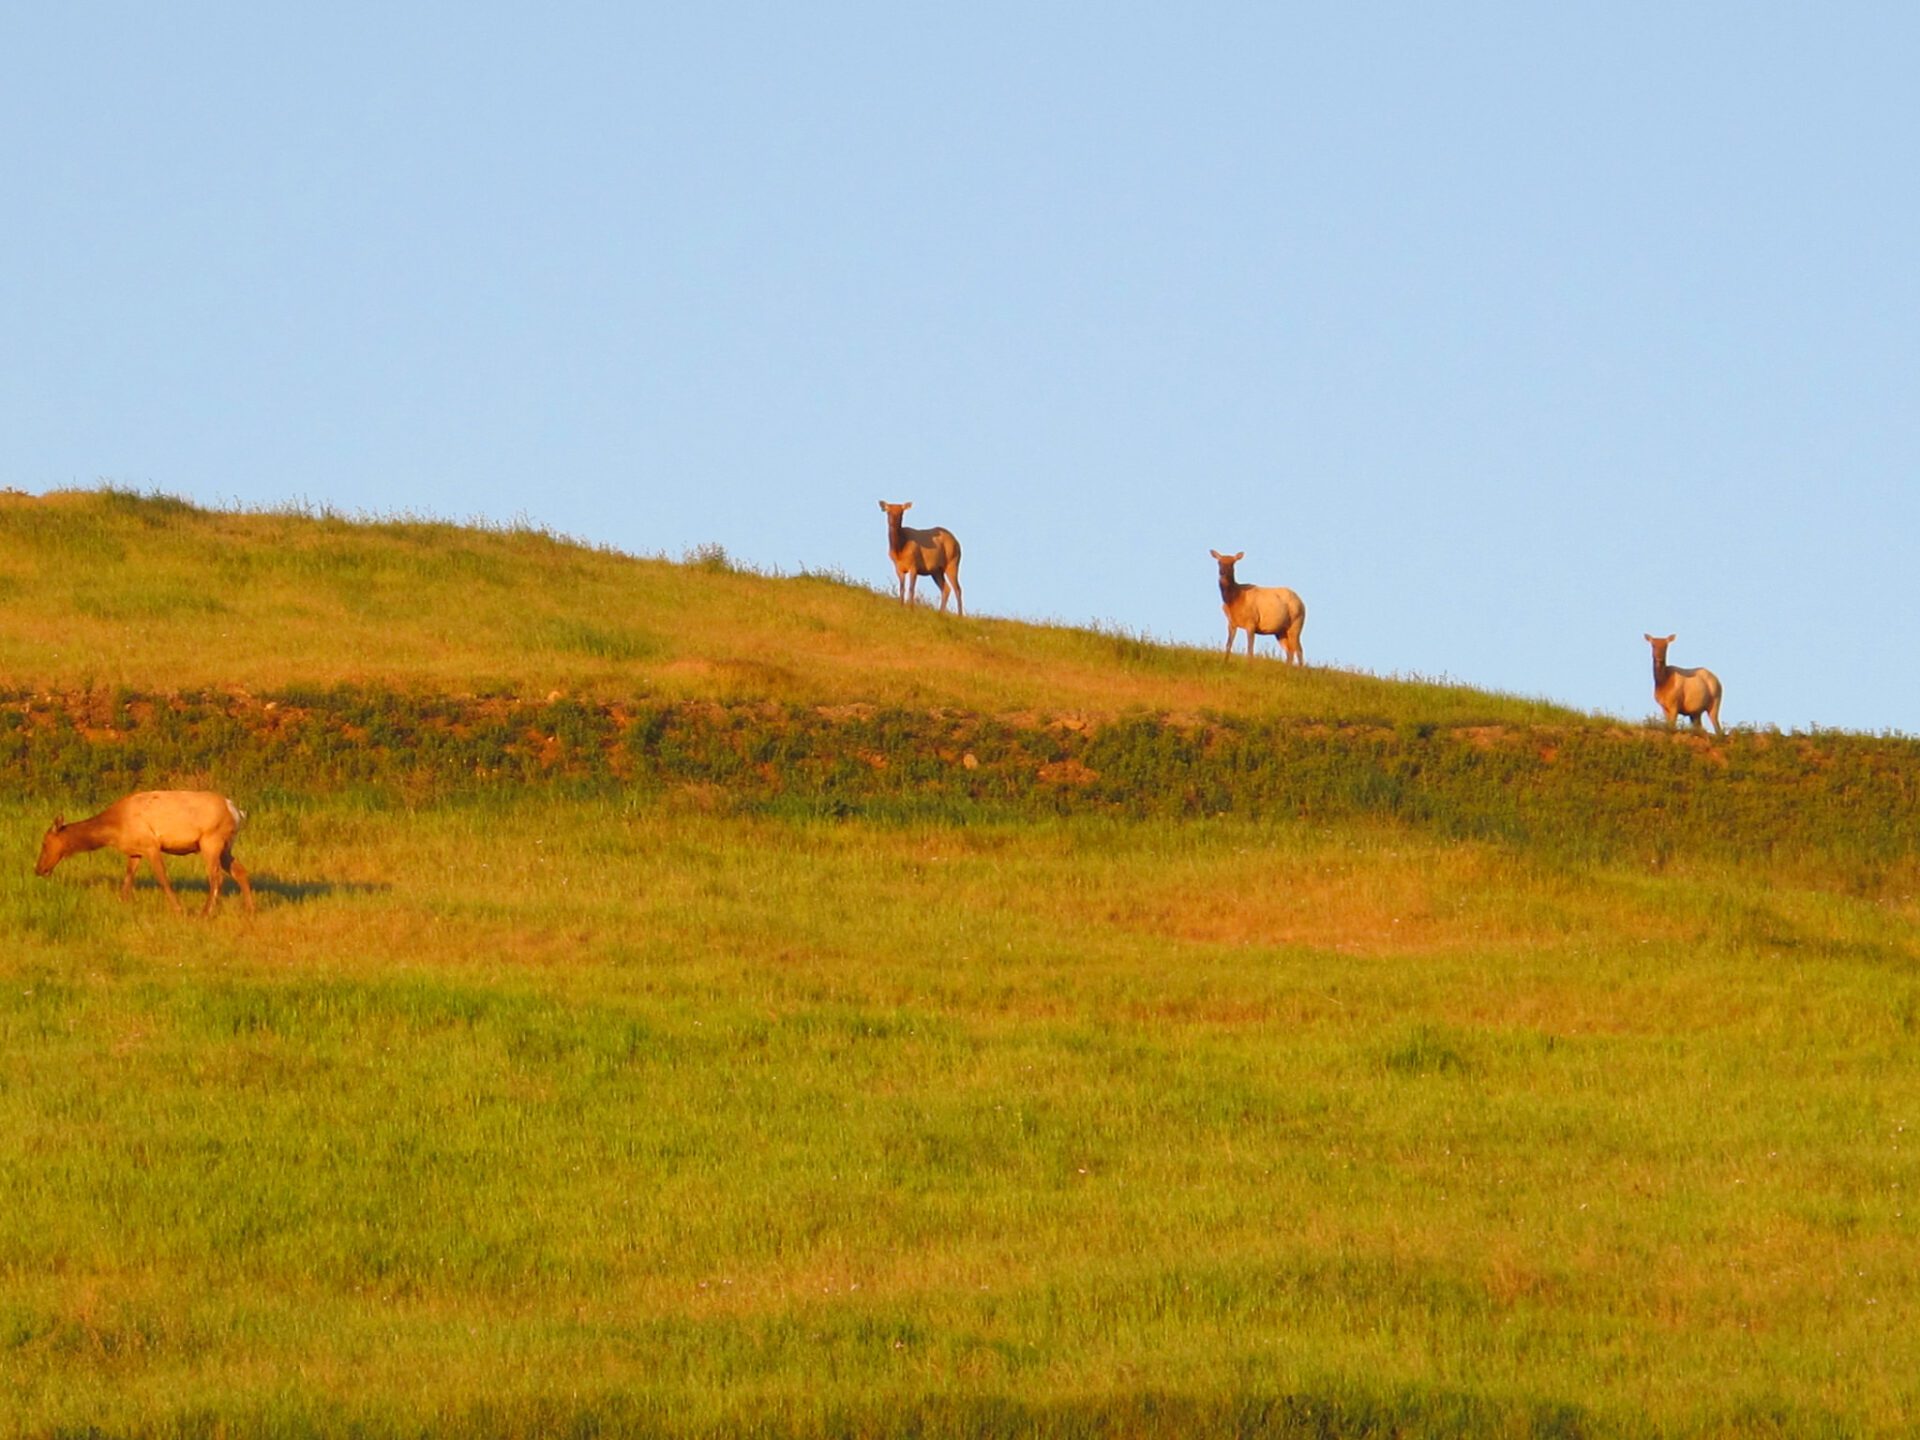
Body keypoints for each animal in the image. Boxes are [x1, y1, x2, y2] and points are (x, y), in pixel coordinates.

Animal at [35, 790, 254, 916]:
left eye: (45, 843)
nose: (38, 869)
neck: (114, 830)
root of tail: (237, 812)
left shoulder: (151, 845)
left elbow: (162, 877)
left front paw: (179, 909)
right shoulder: (135, 851)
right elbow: (128, 879)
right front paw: (123, 903)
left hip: (211, 840)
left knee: (216, 878)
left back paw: (205, 912)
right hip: (225, 846)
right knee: (240, 871)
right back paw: (249, 909)